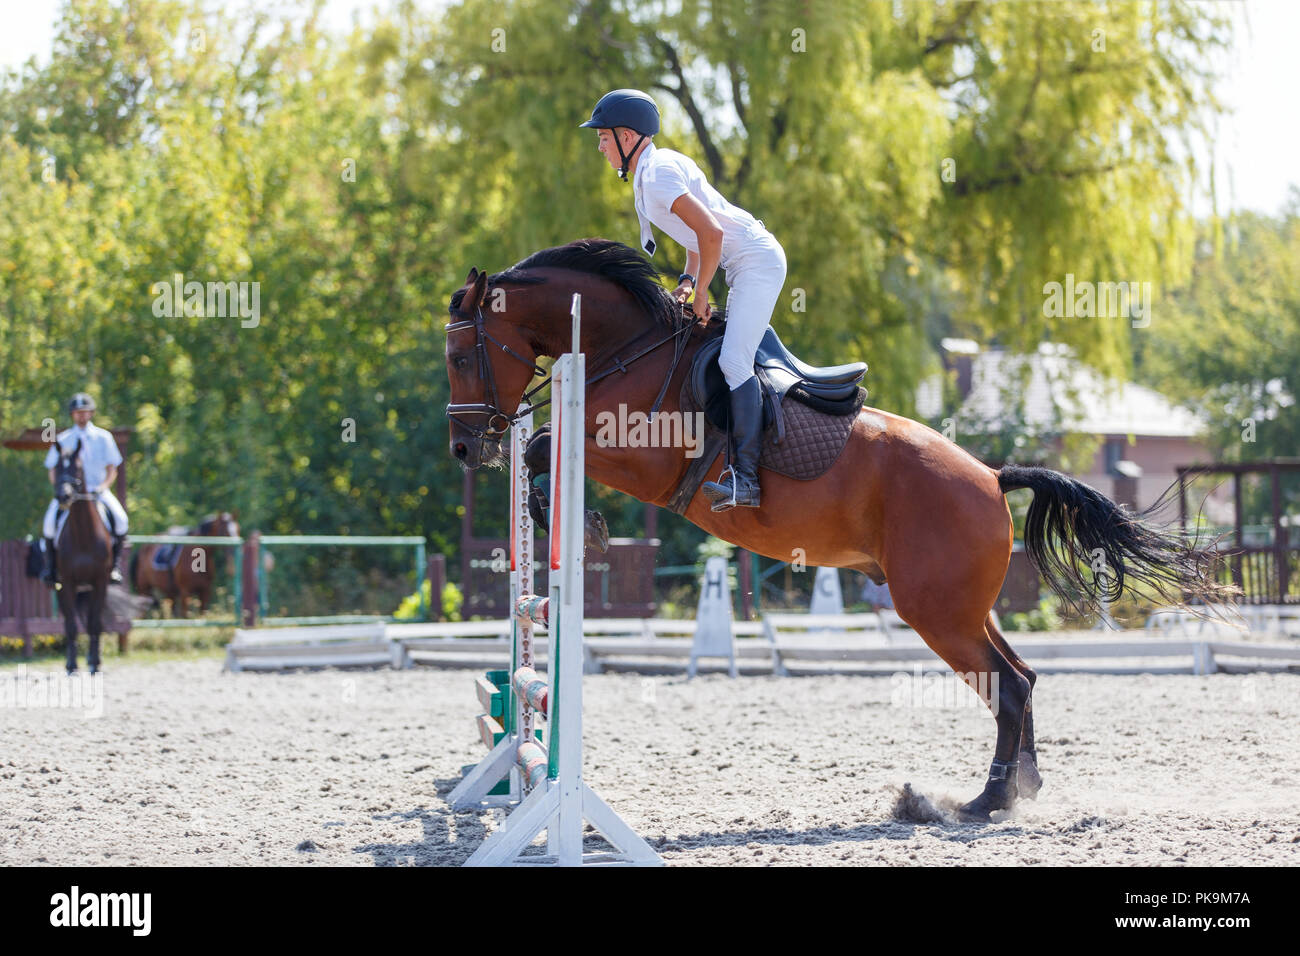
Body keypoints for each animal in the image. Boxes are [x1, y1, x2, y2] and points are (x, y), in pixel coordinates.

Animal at [49, 440, 114, 674]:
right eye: (58, 467)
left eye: (77, 467)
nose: (64, 496)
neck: (83, 534)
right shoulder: (67, 582)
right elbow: (70, 625)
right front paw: (71, 664)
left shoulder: (100, 581)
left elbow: (94, 623)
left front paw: (94, 662)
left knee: (92, 621)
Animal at [443, 238, 1231, 822]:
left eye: (457, 355)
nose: (465, 449)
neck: (628, 347)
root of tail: (989, 476)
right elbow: (543, 447)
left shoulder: (638, 457)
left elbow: (545, 445)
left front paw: (581, 527)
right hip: (959, 608)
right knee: (1022, 679)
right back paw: (1016, 792)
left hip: (937, 611)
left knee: (1007, 686)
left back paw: (982, 802)